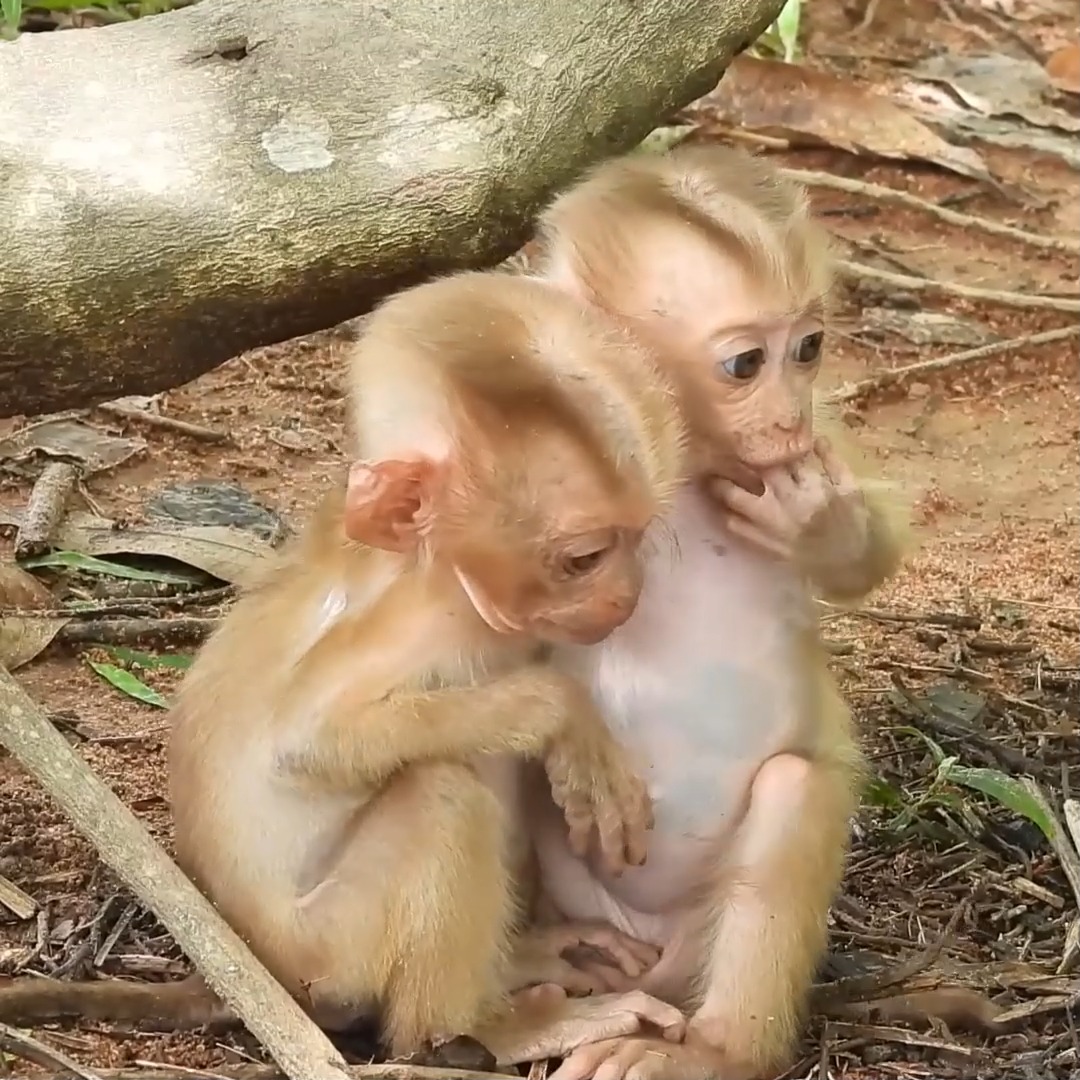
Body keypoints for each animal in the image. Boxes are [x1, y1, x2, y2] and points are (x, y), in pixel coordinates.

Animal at [0, 270, 689, 1067]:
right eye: (583, 558)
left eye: (639, 539)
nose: (626, 596)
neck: (443, 579)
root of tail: (262, 969)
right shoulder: (423, 627)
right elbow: (307, 742)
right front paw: (567, 716)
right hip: (334, 947)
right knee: (442, 789)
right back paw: (483, 1028)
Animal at [492, 143, 913, 1080]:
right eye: (745, 365)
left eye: (810, 349)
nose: (788, 416)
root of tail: (651, 953)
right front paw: (575, 738)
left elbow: (867, 550)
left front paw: (820, 525)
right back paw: (530, 986)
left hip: (703, 946)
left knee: (793, 792)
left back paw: (711, 1049)